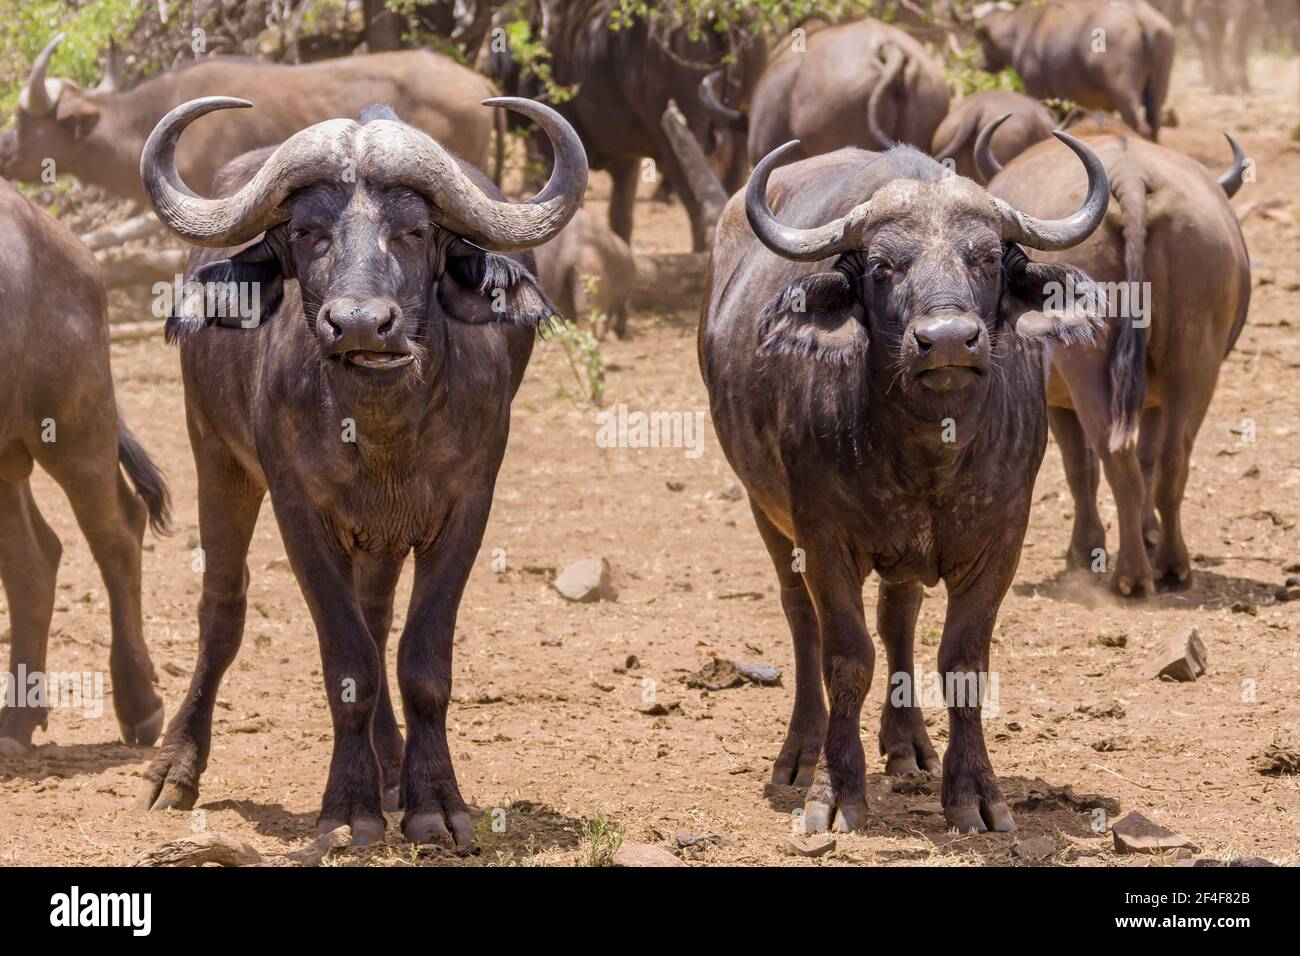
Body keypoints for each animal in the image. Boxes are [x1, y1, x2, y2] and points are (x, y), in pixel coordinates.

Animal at [134, 95, 587, 848]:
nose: (359, 325)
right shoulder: (299, 512)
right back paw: (176, 767)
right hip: (215, 455)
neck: (381, 431)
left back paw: (392, 767)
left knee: (378, 623)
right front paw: (348, 807)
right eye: (307, 232)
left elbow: (421, 662)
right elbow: (347, 663)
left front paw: (432, 802)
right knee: (223, 609)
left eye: (415, 232)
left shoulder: (468, 506)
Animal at [700, 133, 1112, 832]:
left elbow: (963, 660)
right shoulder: (823, 537)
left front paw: (974, 792)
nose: (946, 340)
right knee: (801, 620)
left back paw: (907, 745)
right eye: (884, 266)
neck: (927, 450)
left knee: (898, 618)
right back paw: (800, 753)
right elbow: (846, 657)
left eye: (986, 258)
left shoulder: (1002, 540)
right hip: (766, 511)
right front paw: (835, 790)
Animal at [973, 0, 1175, 139]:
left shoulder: (1038, 90)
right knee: (1154, 126)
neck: (1021, 27)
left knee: (1141, 127)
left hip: (1124, 92)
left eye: (980, 40)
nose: (979, 63)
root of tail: (1138, 16)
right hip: (1158, 90)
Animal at [979, 112, 1250, 594]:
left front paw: (1085, 549)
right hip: (1194, 363)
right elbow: (1148, 460)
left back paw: (1131, 575)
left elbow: (1080, 466)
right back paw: (1170, 564)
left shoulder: (1056, 397)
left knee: (1111, 456)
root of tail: (1130, 179)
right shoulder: (1154, 396)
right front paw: (1145, 531)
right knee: (1171, 460)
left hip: (1087, 369)